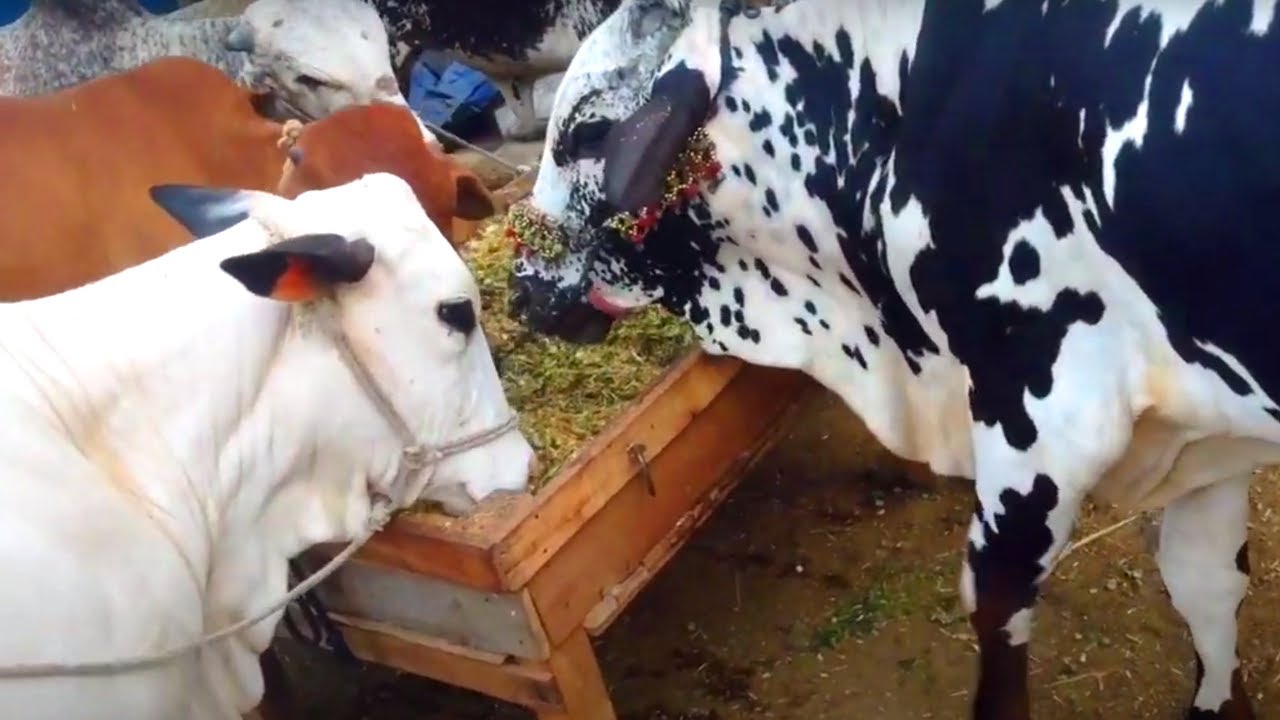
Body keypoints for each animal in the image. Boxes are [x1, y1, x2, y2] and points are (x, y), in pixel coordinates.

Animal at [505, 0, 1280, 718]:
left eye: (587, 132)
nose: (520, 286)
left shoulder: (1038, 424)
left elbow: (997, 613)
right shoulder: (1201, 438)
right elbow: (1207, 583)